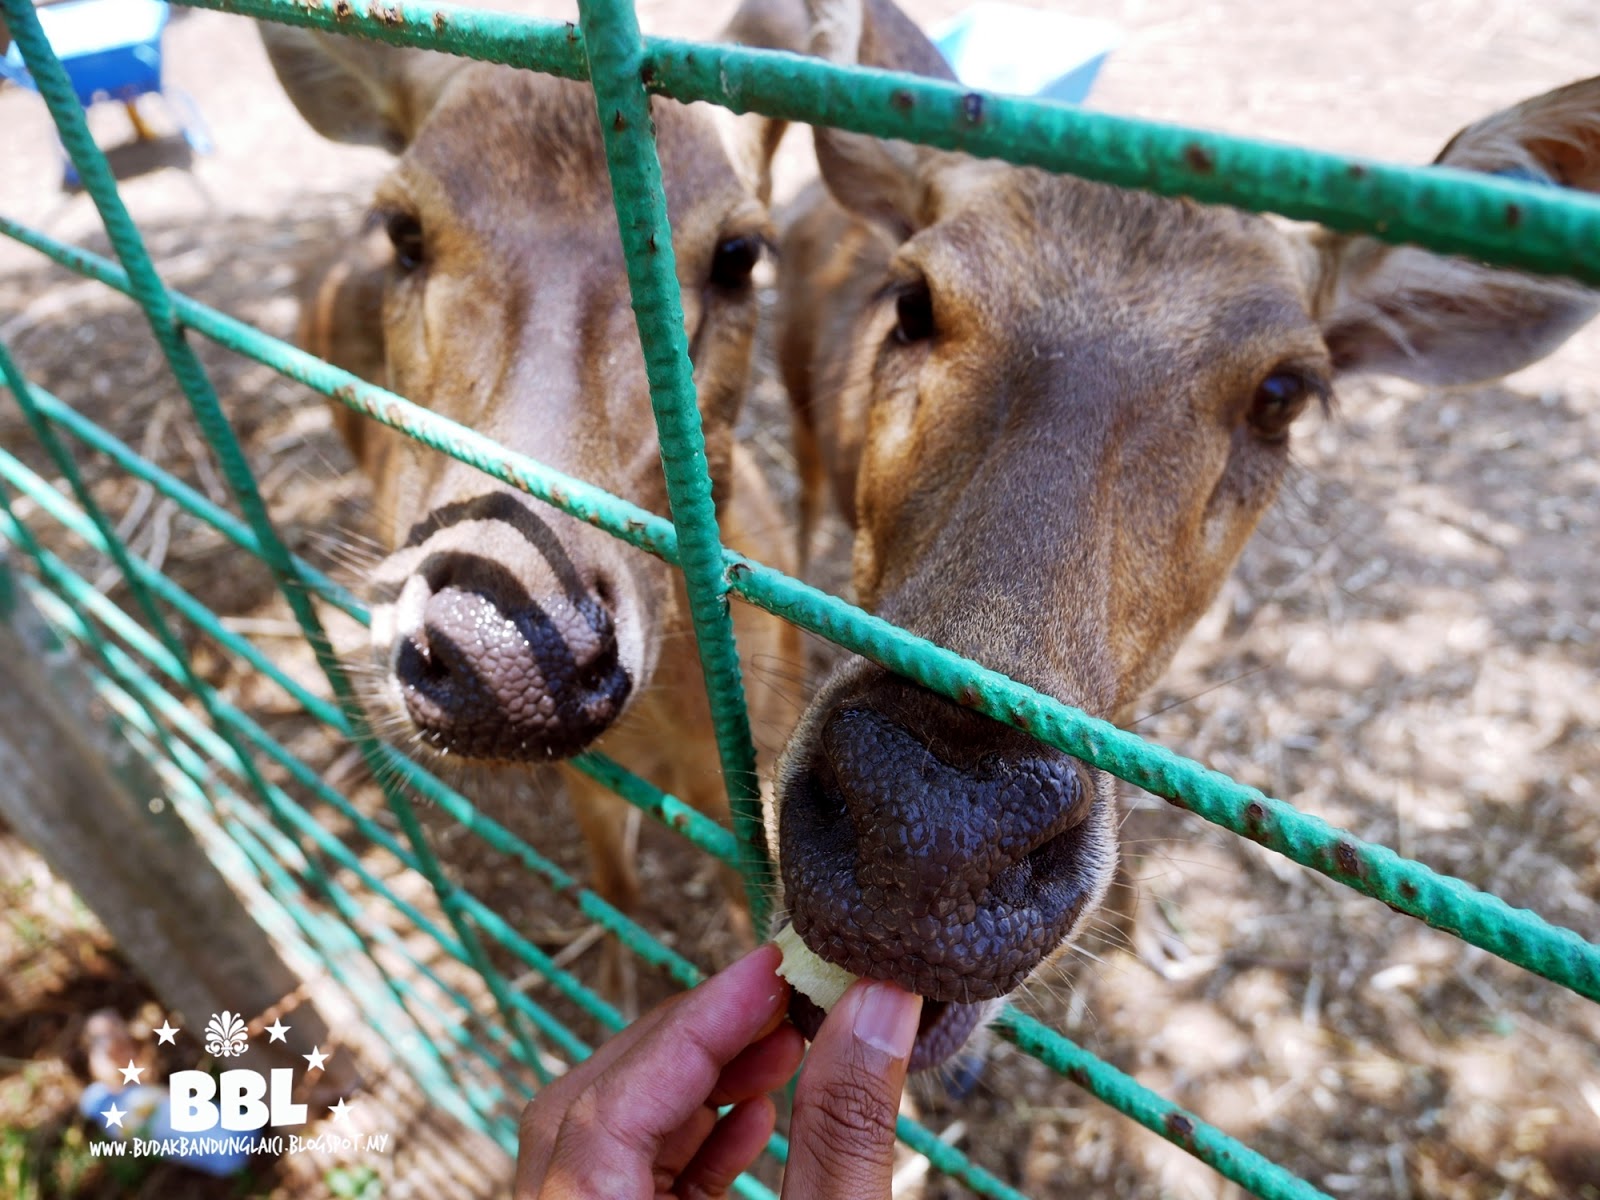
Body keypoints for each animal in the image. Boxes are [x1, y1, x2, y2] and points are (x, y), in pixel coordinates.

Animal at [257, 13, 805, 997]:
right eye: (404, 230)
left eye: (740, 254)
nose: (504, 652)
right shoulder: (593, 777)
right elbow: (615, 884)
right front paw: (620, 991)